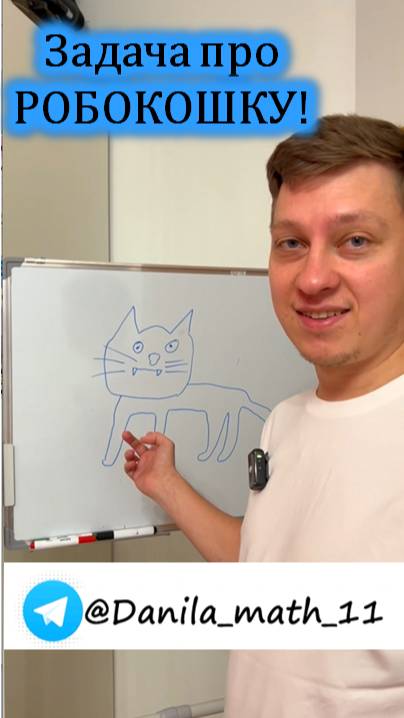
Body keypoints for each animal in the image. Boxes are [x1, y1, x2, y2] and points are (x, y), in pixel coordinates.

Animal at [96, 306, 270, 466]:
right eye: (137, 346)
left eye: (171, 346)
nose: (153, 357)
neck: (145, 396)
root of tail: (239, 394)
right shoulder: (121, 414)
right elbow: (114, 438)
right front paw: (108, 460)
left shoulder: (160, 413)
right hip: (221, 415)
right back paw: (215, 456)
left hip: (217, 415)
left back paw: (210, 456)